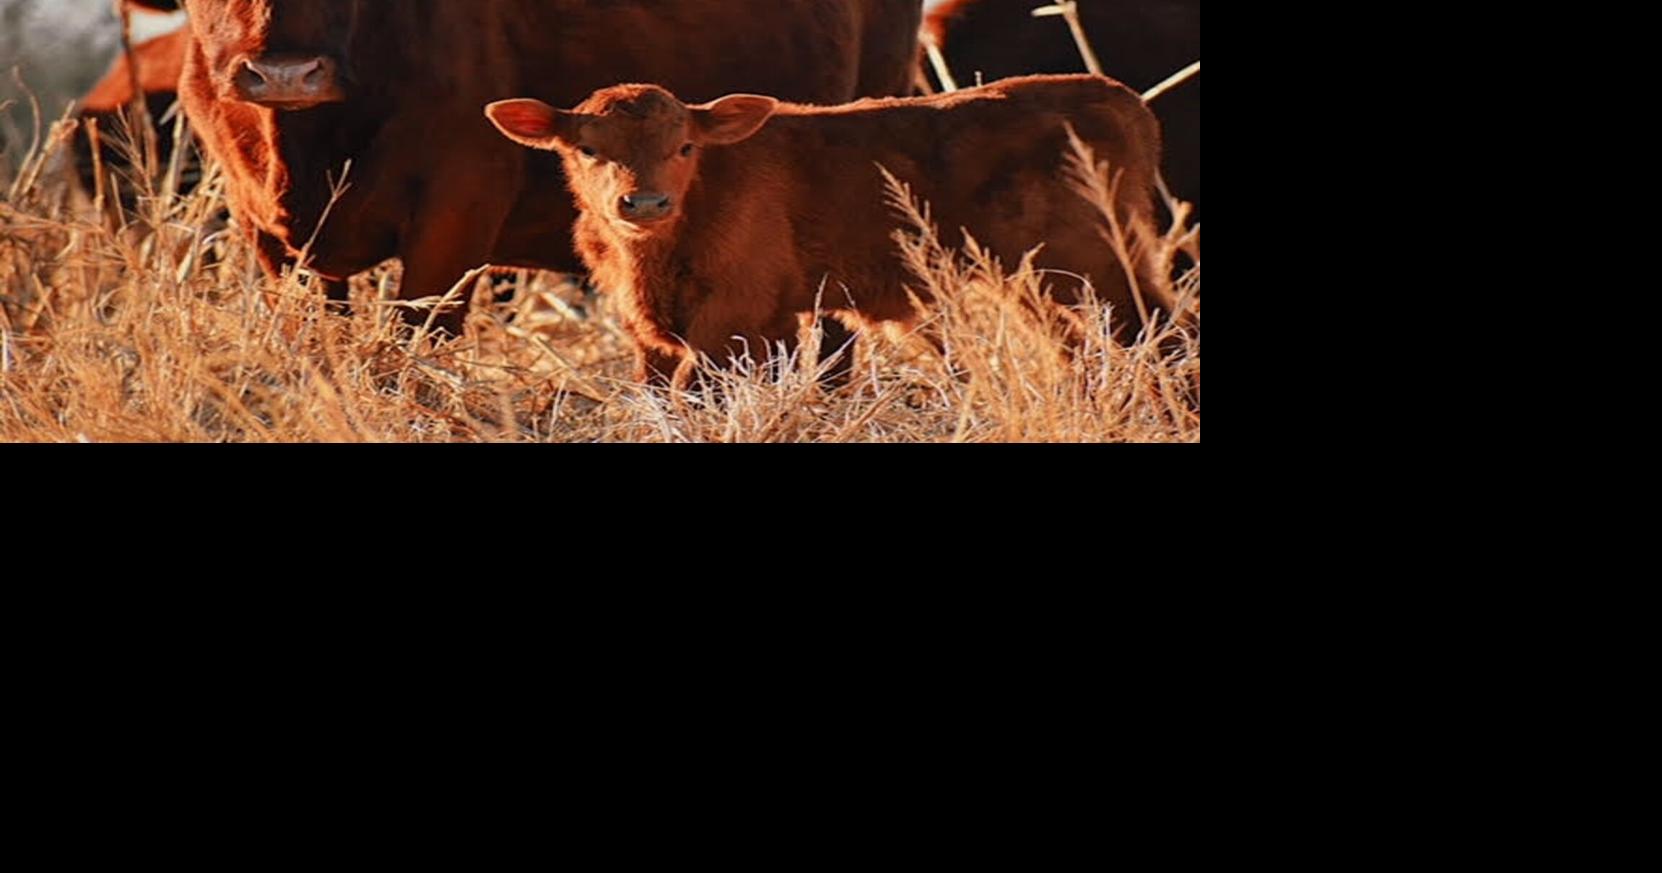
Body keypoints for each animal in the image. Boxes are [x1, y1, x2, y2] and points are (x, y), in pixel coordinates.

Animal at [484, 75, 1168, 388]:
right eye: (588, 148)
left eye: (684, 147)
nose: (645, 202)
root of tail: (1111, 95)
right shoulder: (653, 332)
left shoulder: (734, 319)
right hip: (1032, 283)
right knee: (1080, 348)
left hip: (1091, 268)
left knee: (1154, 330)